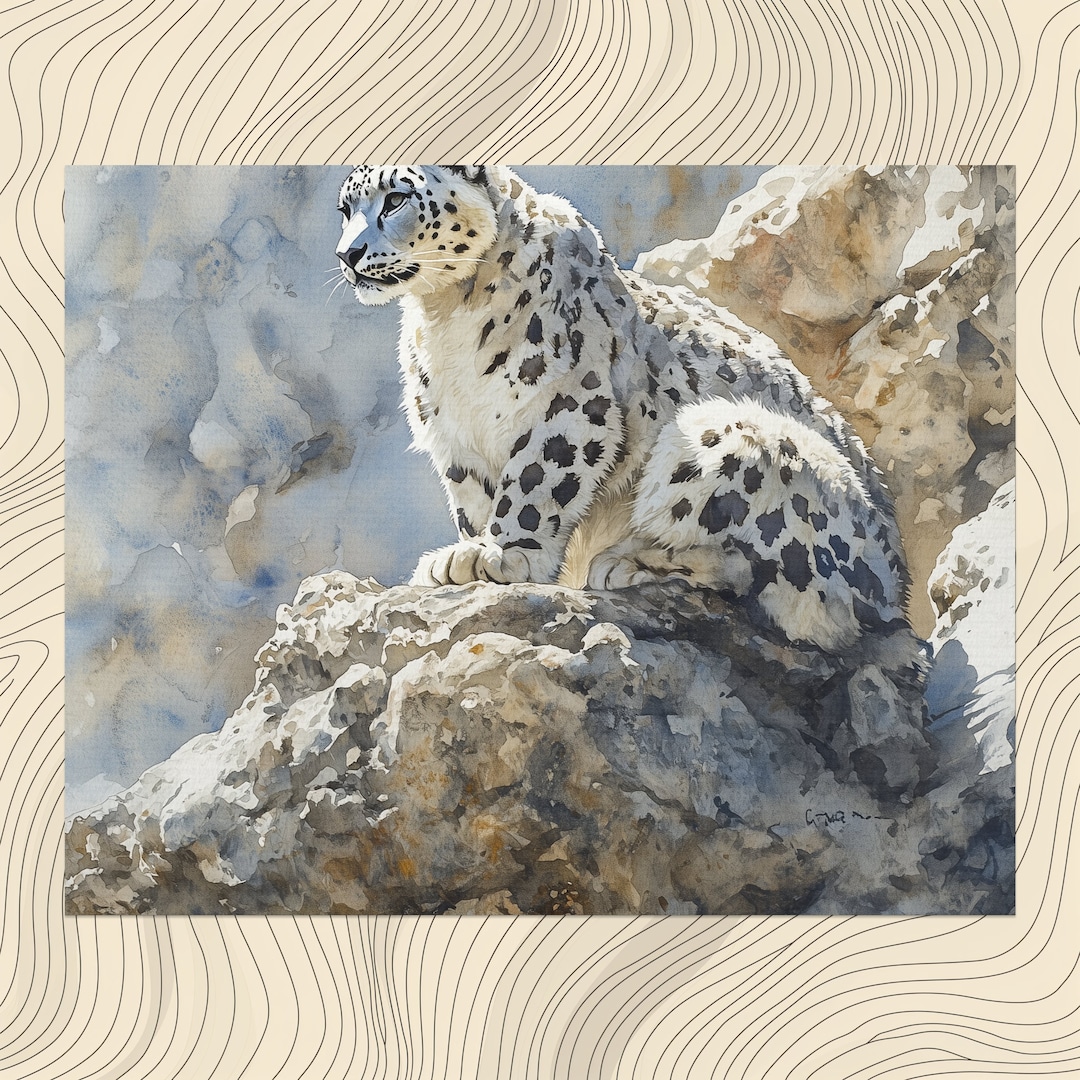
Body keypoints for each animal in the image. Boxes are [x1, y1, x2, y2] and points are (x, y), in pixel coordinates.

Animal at [334, 165, 912, 652]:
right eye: (345, 208)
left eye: (395, 198)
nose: (347, 255)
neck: (447, 312)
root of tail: (899, 592)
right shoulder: (455, 435)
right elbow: (473, 500)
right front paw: (463, 555)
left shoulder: (568, 405)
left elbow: (534, 483)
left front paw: (505, 555)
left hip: (725, 434)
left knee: (798, 596)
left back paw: (626, 561)